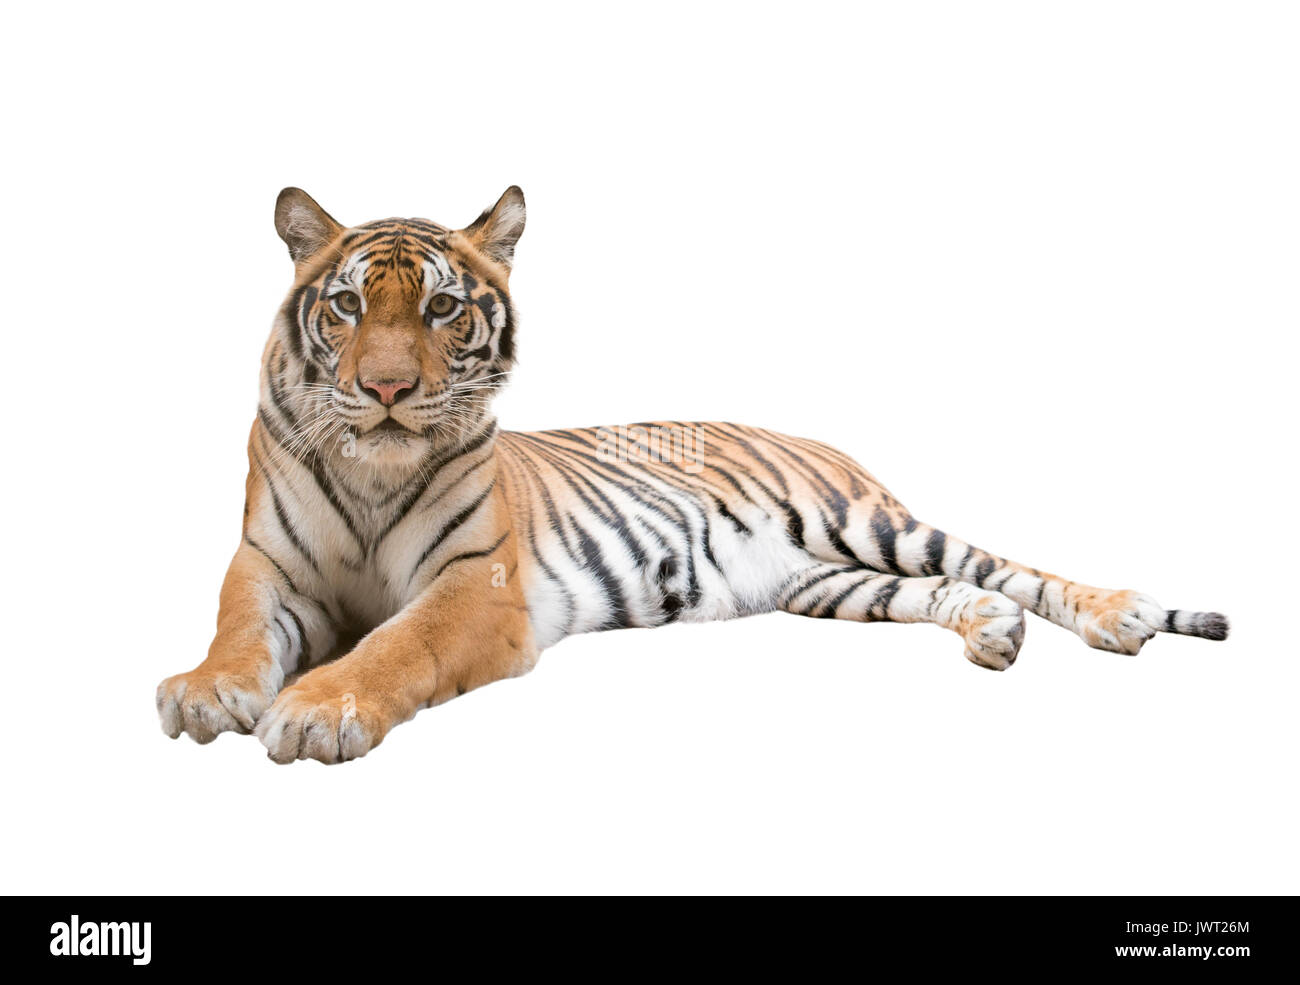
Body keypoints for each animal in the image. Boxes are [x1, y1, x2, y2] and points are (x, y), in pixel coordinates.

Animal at [156, 187, 1230, 764]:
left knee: (1009, 566)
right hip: (826, 581)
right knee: (947, 590)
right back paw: (992, 633)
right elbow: (237, 632)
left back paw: (1120, 613)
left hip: (866, 523)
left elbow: (393, 645)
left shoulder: (475, 586)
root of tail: (821, 437)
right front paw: (207, 694)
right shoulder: (266, 566)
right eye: (344, 305)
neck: (373, 473)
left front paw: (315, 708)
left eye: (442, 309)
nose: (385, 388)